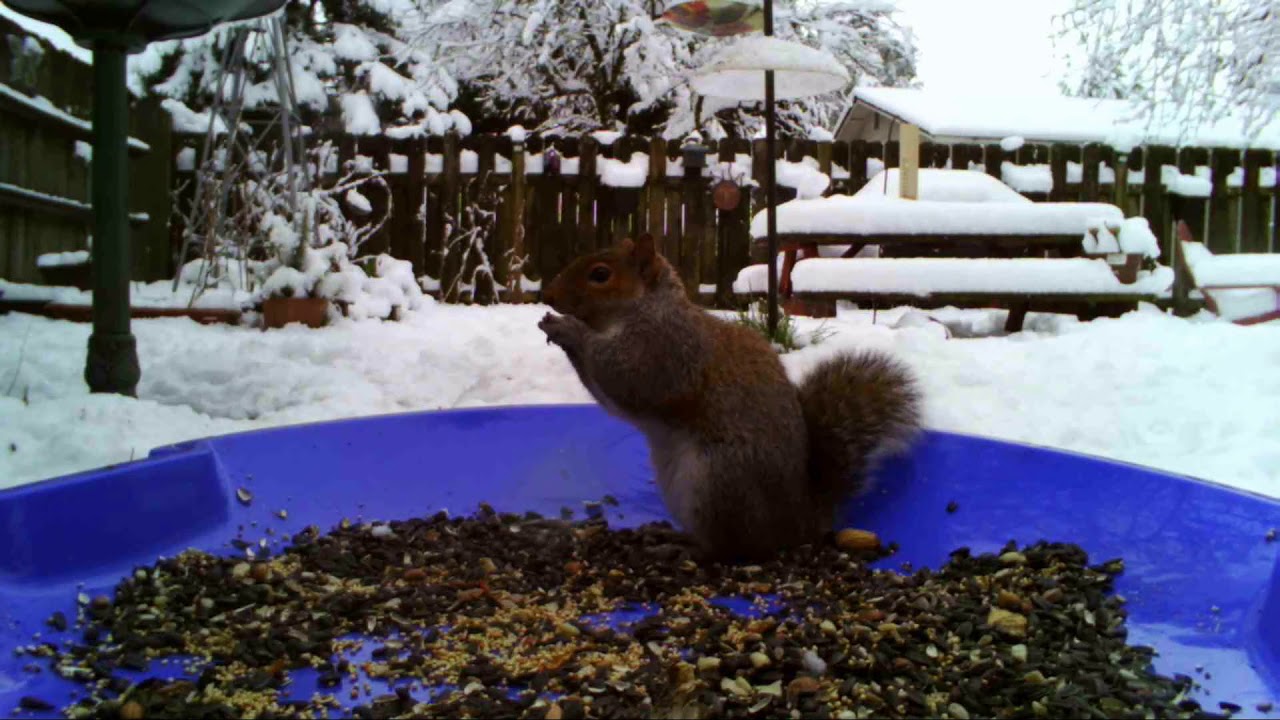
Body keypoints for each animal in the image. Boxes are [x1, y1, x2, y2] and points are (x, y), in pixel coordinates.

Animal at [538, 233, 922, 562]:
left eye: (600, 275)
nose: (549, 296)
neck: (644, 309)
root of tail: (796, 522)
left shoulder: (662, 351)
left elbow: (624, 379)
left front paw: (568, 328)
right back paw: (672, 535)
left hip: (717, 483)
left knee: (728, 548)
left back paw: (684, 548)